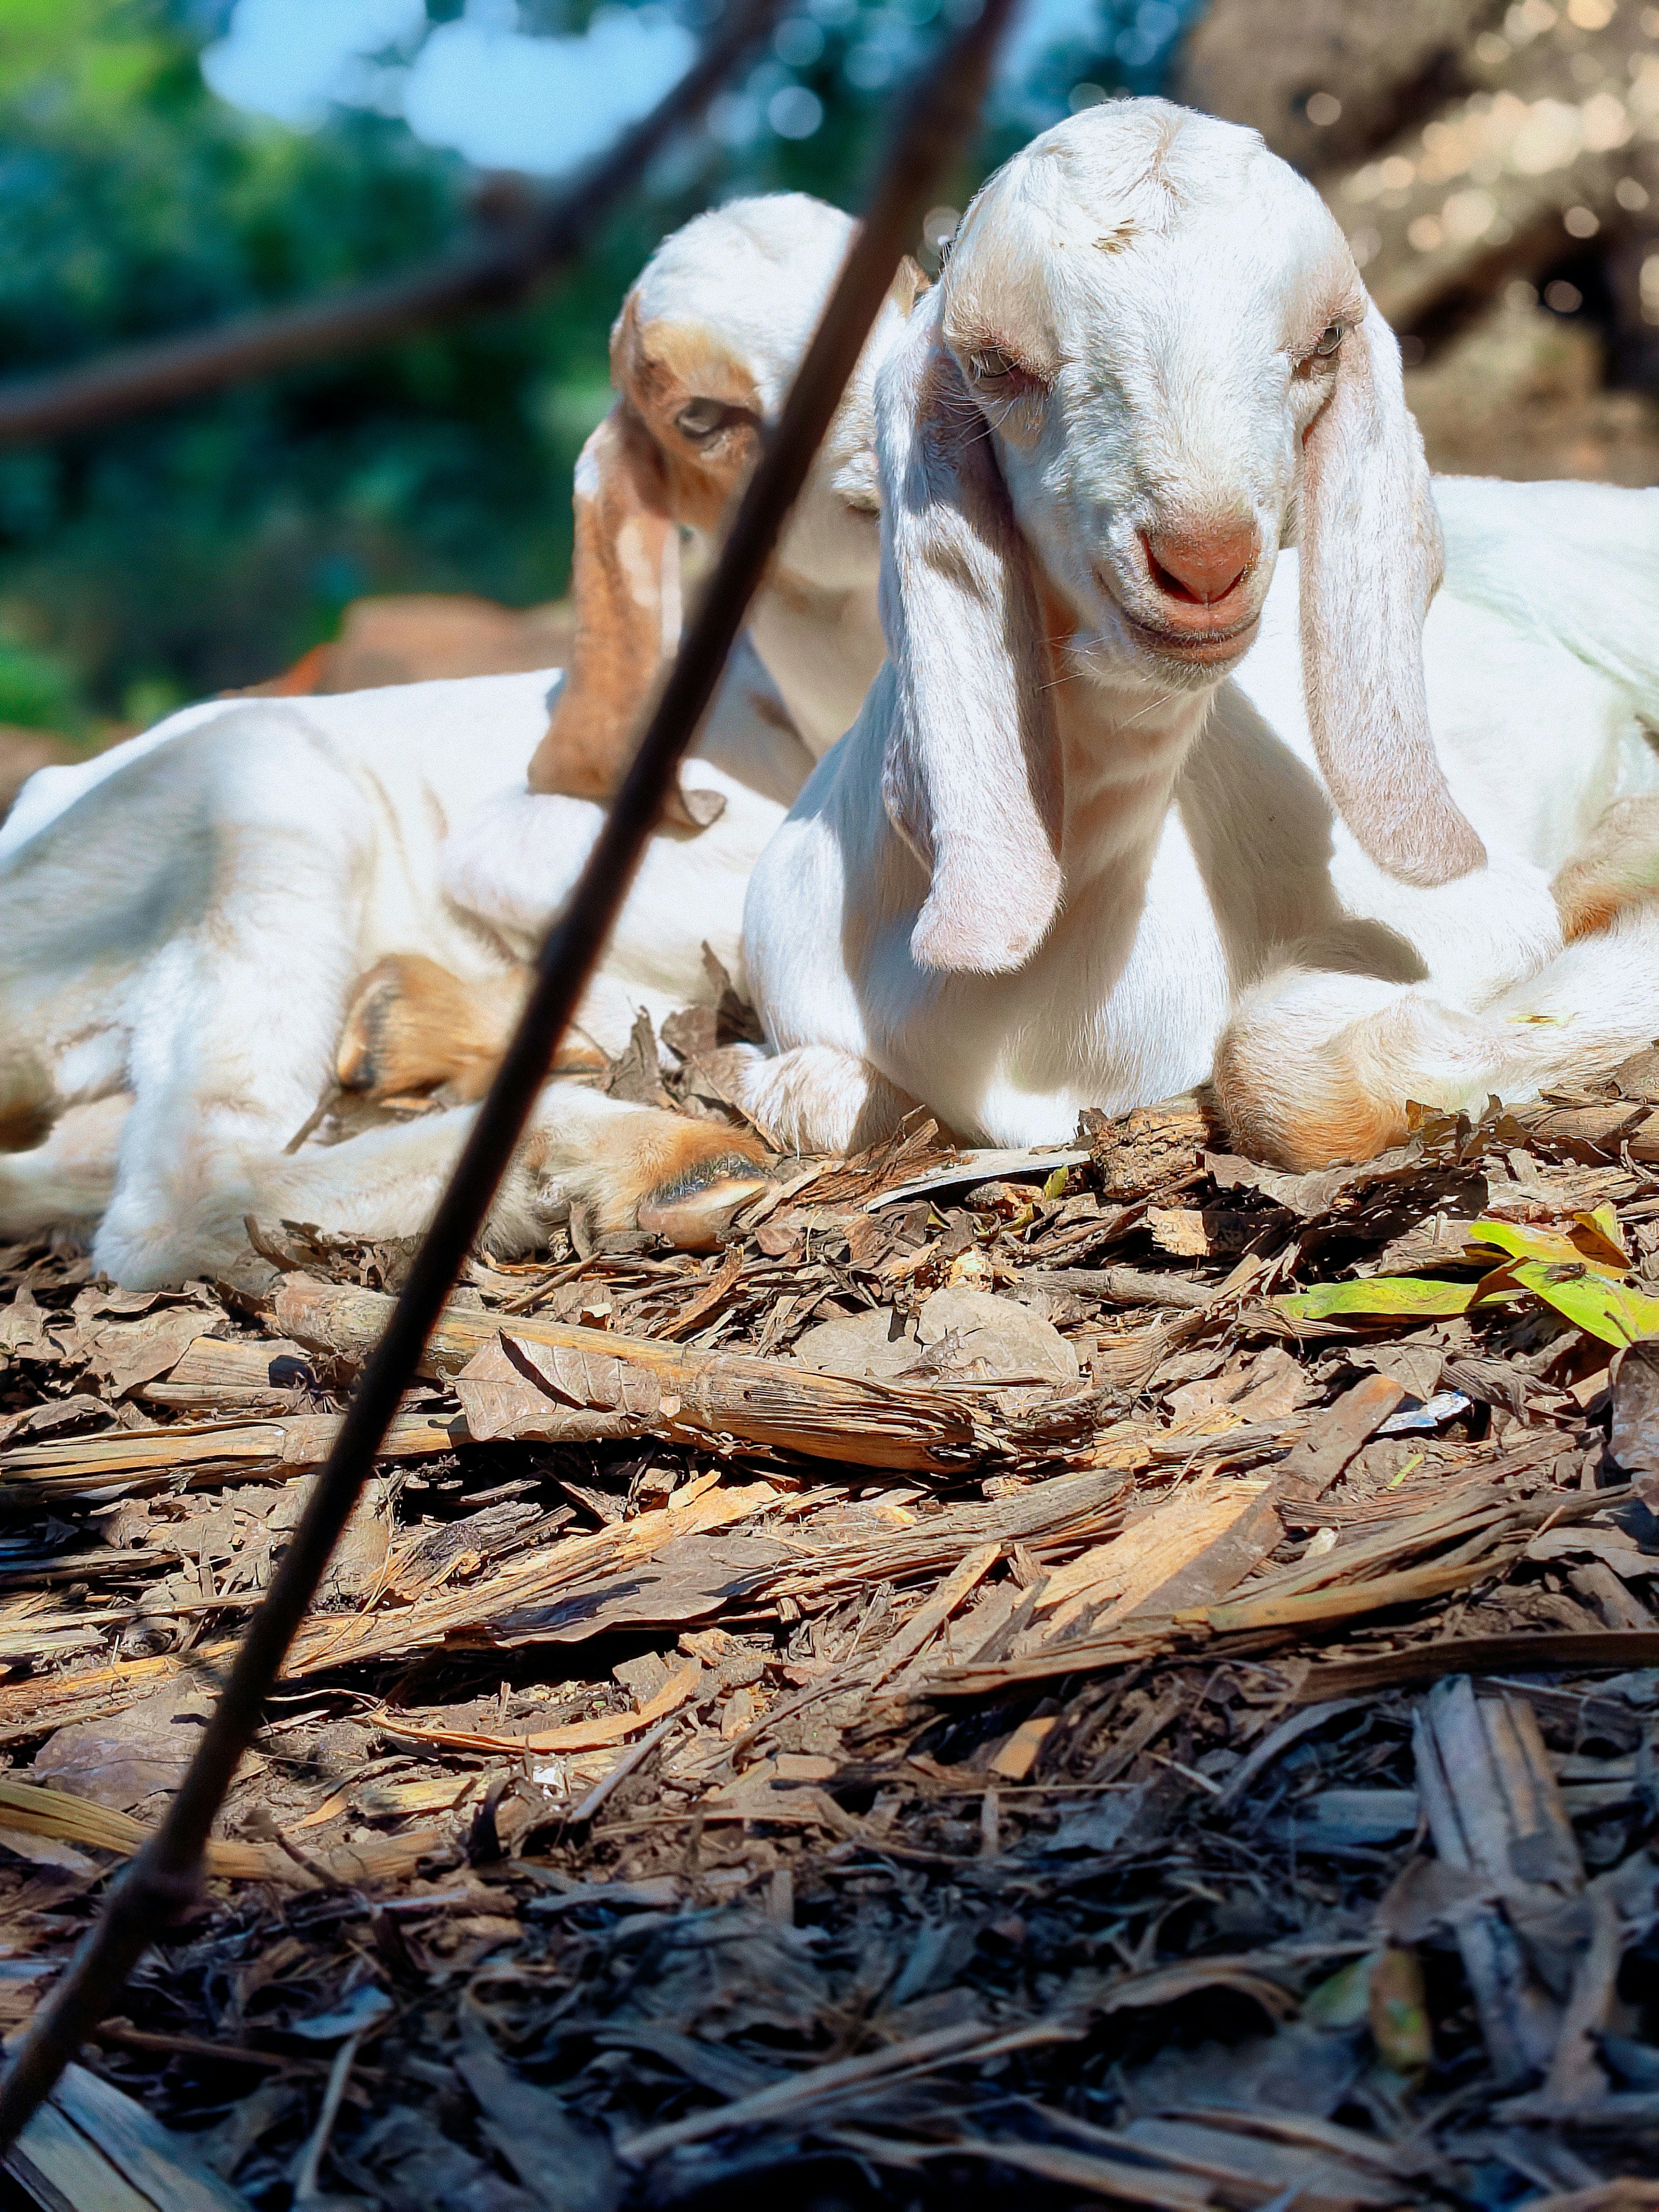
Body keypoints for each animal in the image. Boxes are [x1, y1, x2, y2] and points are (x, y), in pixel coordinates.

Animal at [734, 98, 1659, 1167]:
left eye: (1324, 345)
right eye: (995, 364)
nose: (1205, 560)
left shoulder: (1476, 916)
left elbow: (1269, 1060)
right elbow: (814, 1102)